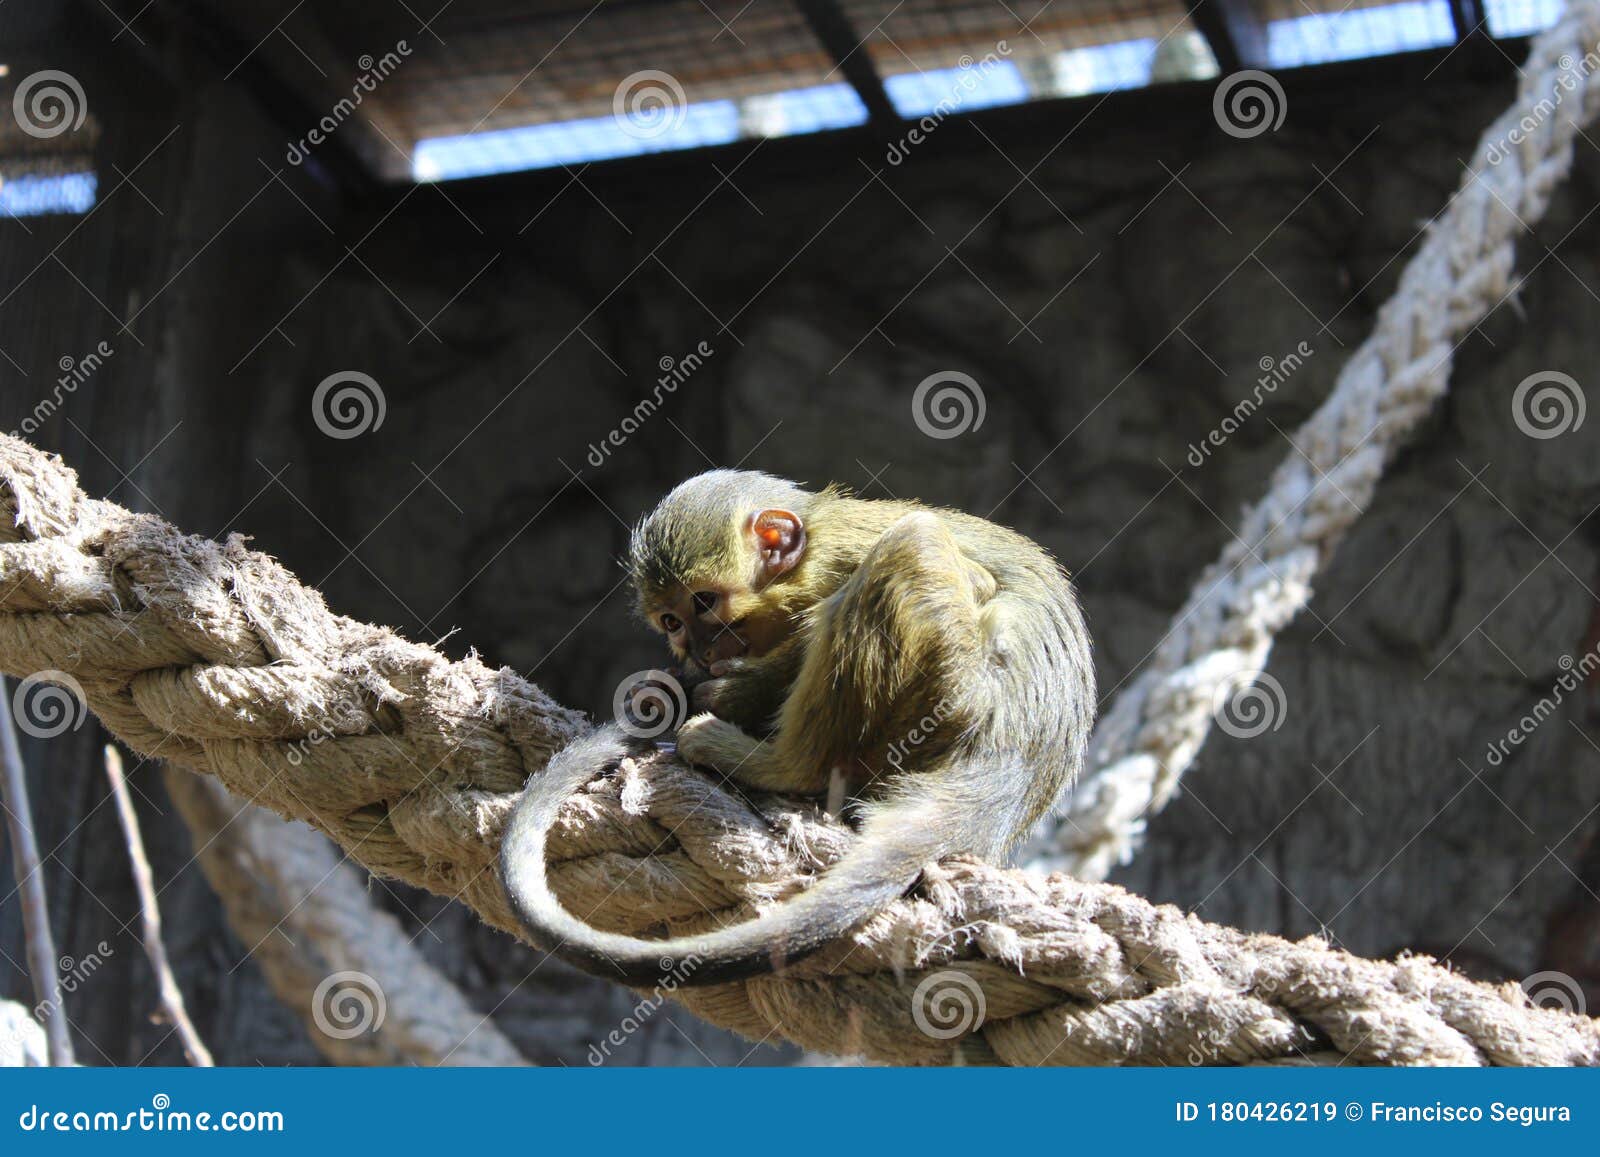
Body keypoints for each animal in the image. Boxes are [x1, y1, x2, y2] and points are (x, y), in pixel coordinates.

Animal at [500, 469, 1094, 988]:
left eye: (704, 603)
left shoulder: (833, 562)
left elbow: (967, 578)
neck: (805, 558)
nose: (700, 651)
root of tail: (1007, 765)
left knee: (913, 542)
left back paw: (782, 767)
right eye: (672, 622)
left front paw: (724, 693)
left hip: (954, 699)